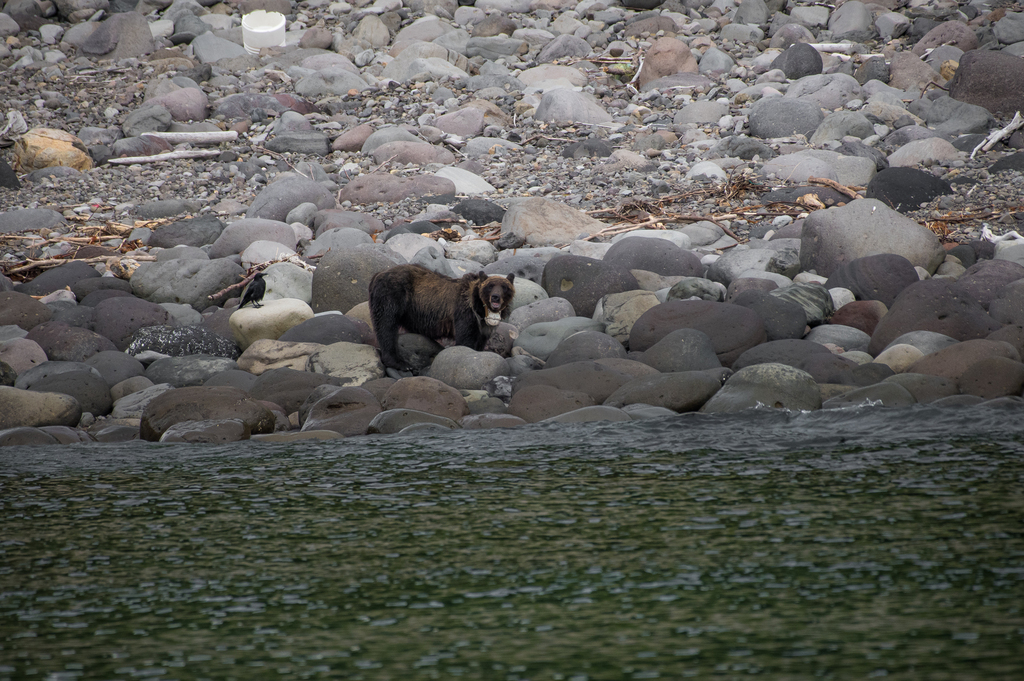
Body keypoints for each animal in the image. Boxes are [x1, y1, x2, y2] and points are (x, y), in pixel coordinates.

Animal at [368, 264, 516, 371]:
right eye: (490, 286)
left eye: (504, 287)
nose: (495, 297)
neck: (480, 309)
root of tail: (377, 274)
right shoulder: (464, 314)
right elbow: (465, 340)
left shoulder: (483, 328)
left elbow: (479, 343)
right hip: (392, 295)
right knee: (386, 326)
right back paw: (401, 363)